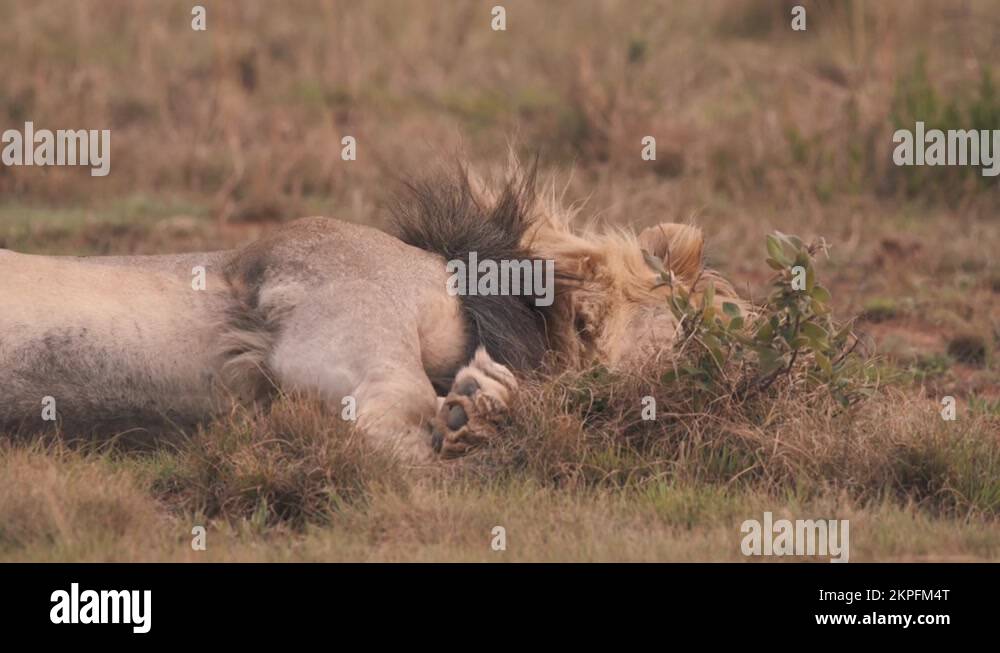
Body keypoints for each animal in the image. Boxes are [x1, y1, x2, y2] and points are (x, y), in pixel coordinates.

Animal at [0, 160, 743, 461]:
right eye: (710, 319)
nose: (746, 367)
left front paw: (480, 408)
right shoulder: (332, 309)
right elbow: (405, 403)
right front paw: (462, 427)